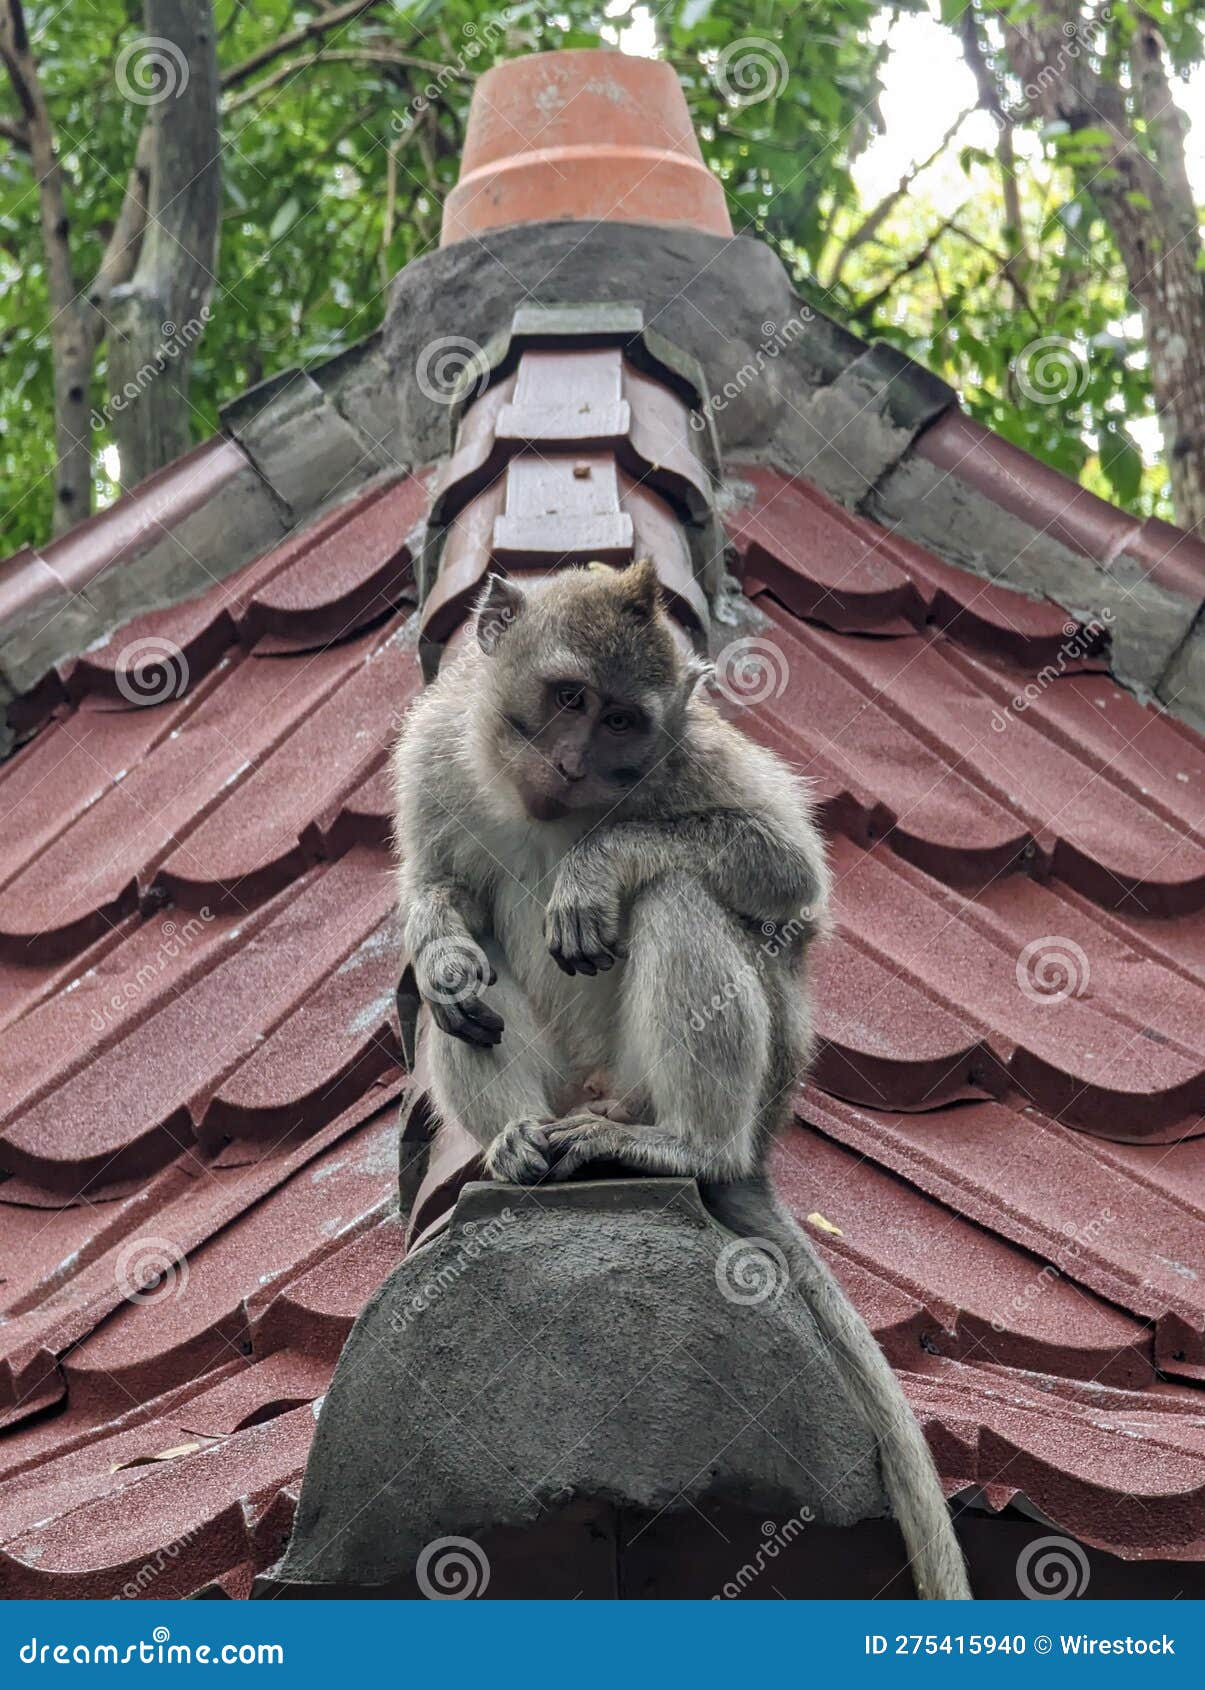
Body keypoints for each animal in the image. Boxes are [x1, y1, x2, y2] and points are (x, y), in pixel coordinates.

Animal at [390, 558, 970, 1601]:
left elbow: (783, 869)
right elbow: (435, 887)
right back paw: (517, 1140)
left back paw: (681, 1145)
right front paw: (441, 945)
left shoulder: (686, 762)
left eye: (623, 720)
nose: (575, 762)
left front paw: (592, 868)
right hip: (568, 1084)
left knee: (677, 894)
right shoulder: (432, 752)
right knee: (471, 992)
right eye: (568, 698)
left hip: (733, 1078)